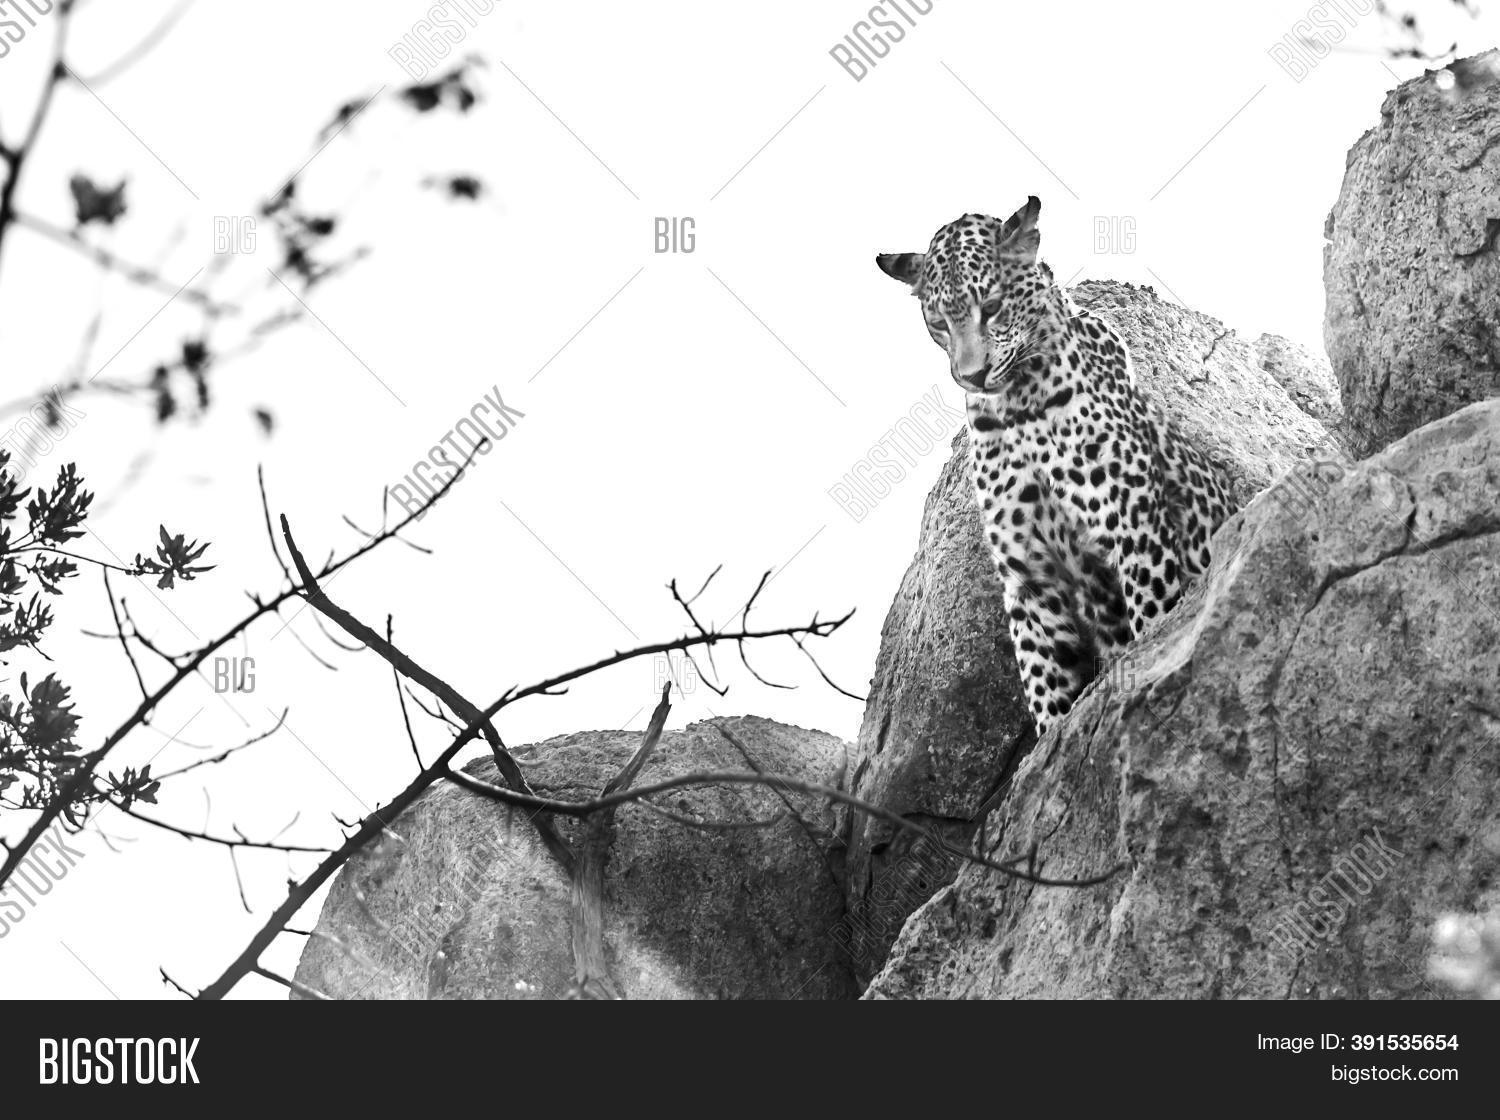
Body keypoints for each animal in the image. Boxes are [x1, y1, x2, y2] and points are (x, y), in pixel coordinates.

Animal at [877, 196, 1232, 737]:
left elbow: (1155, 622)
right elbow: (1045, 683)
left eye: (992, 307)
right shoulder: (1029, 573)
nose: (972, 376)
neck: (1016, 406)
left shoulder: (1134, 527)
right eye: (938, 322)